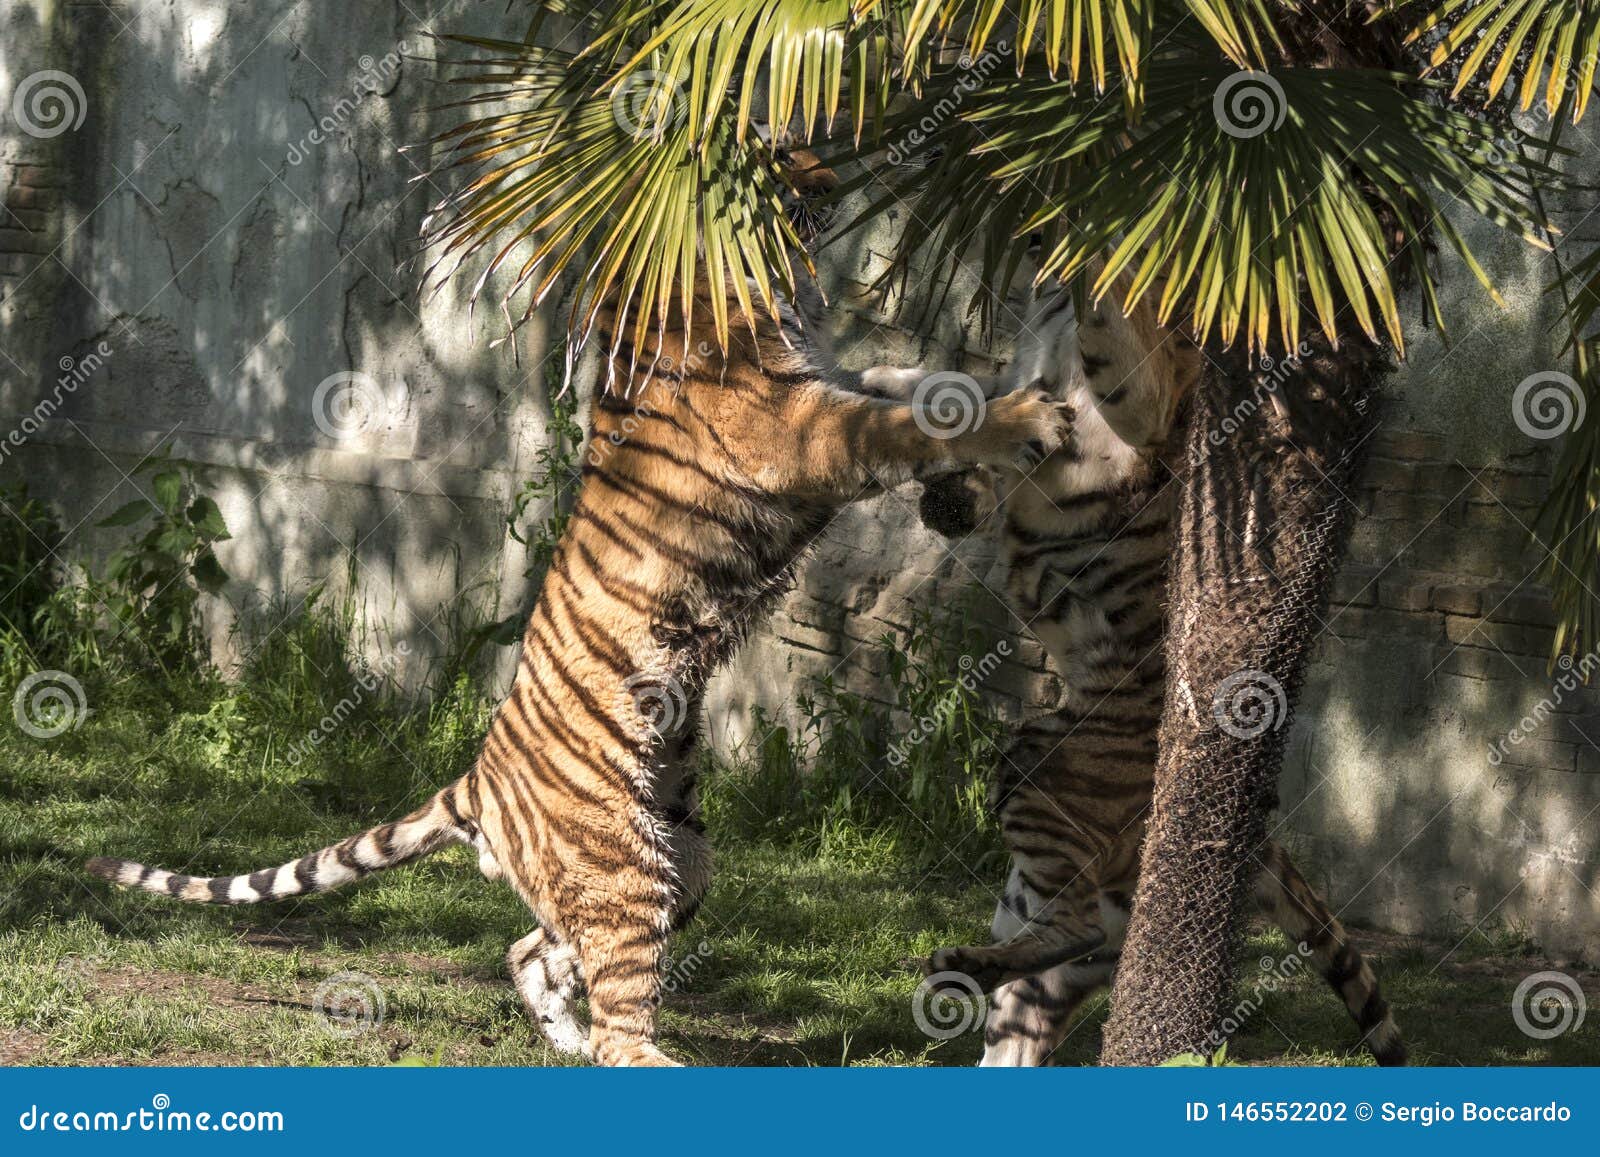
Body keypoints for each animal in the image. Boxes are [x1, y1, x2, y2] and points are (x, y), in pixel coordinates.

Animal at [85, 156, 1073, 1067]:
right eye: (769, 153)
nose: (831, 175)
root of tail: (474, 778)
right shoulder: (803, 428)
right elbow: (911, 420)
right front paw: (1031, 416)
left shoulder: (831, 382)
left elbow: (910, 379)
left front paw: (967, 456)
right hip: (623, 863)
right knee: (621, 1026)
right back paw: (647, 1061)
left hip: (680, 859)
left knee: (538, 951)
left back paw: (563, 1037)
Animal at [916, 286, 1406, 1067]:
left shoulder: (1142, 400)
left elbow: (1102, 343)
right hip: (1043, 929)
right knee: (1031, 997)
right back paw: (969, 975)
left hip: (1040, 761)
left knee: (1075, 924)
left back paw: (955, 963)